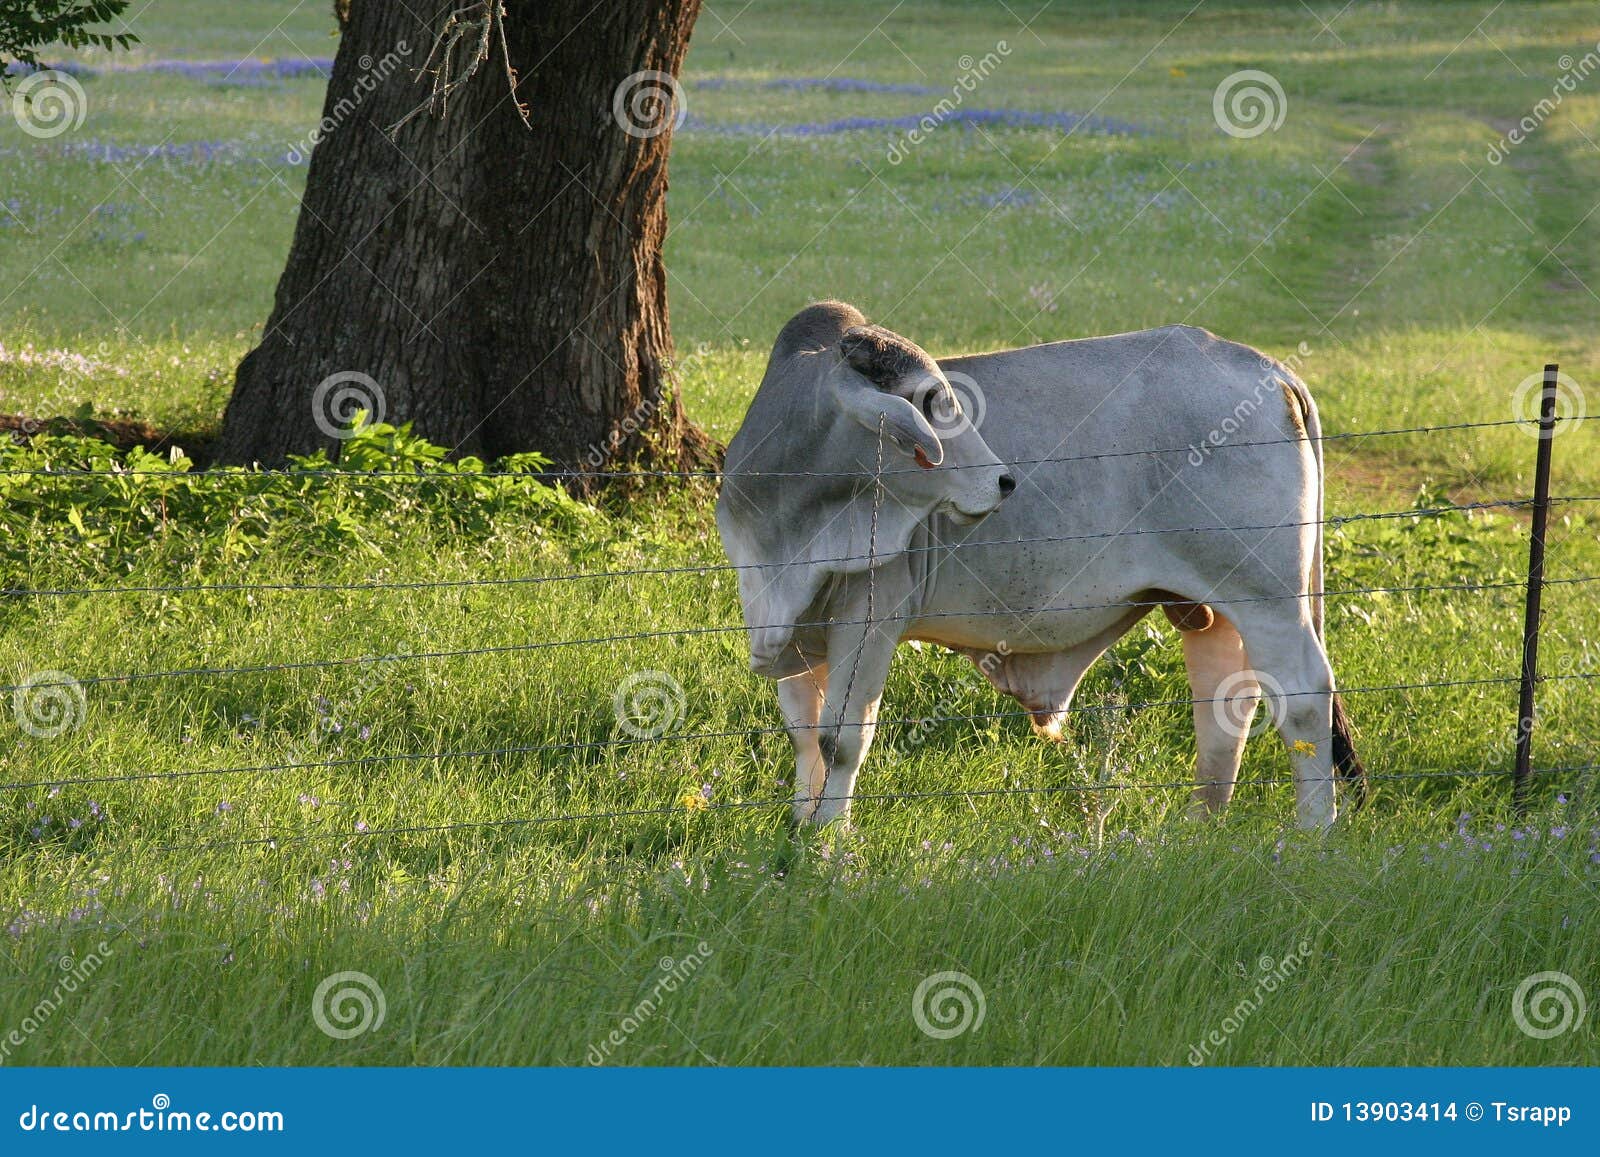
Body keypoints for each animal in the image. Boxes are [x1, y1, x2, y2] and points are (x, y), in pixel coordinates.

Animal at [715, 301, 1365, 830]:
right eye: (926, 401)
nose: (1005, 481)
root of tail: (1270, 371)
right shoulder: (793, 621)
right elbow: (804, 736)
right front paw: (799, 831)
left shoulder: (870, 620)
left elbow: (841, 739)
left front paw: (829, 841)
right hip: (1213, 605)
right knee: (1226, 704)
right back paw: (1202, 823)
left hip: (1268, 598)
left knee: (1305, 697)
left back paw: (1312, 832)